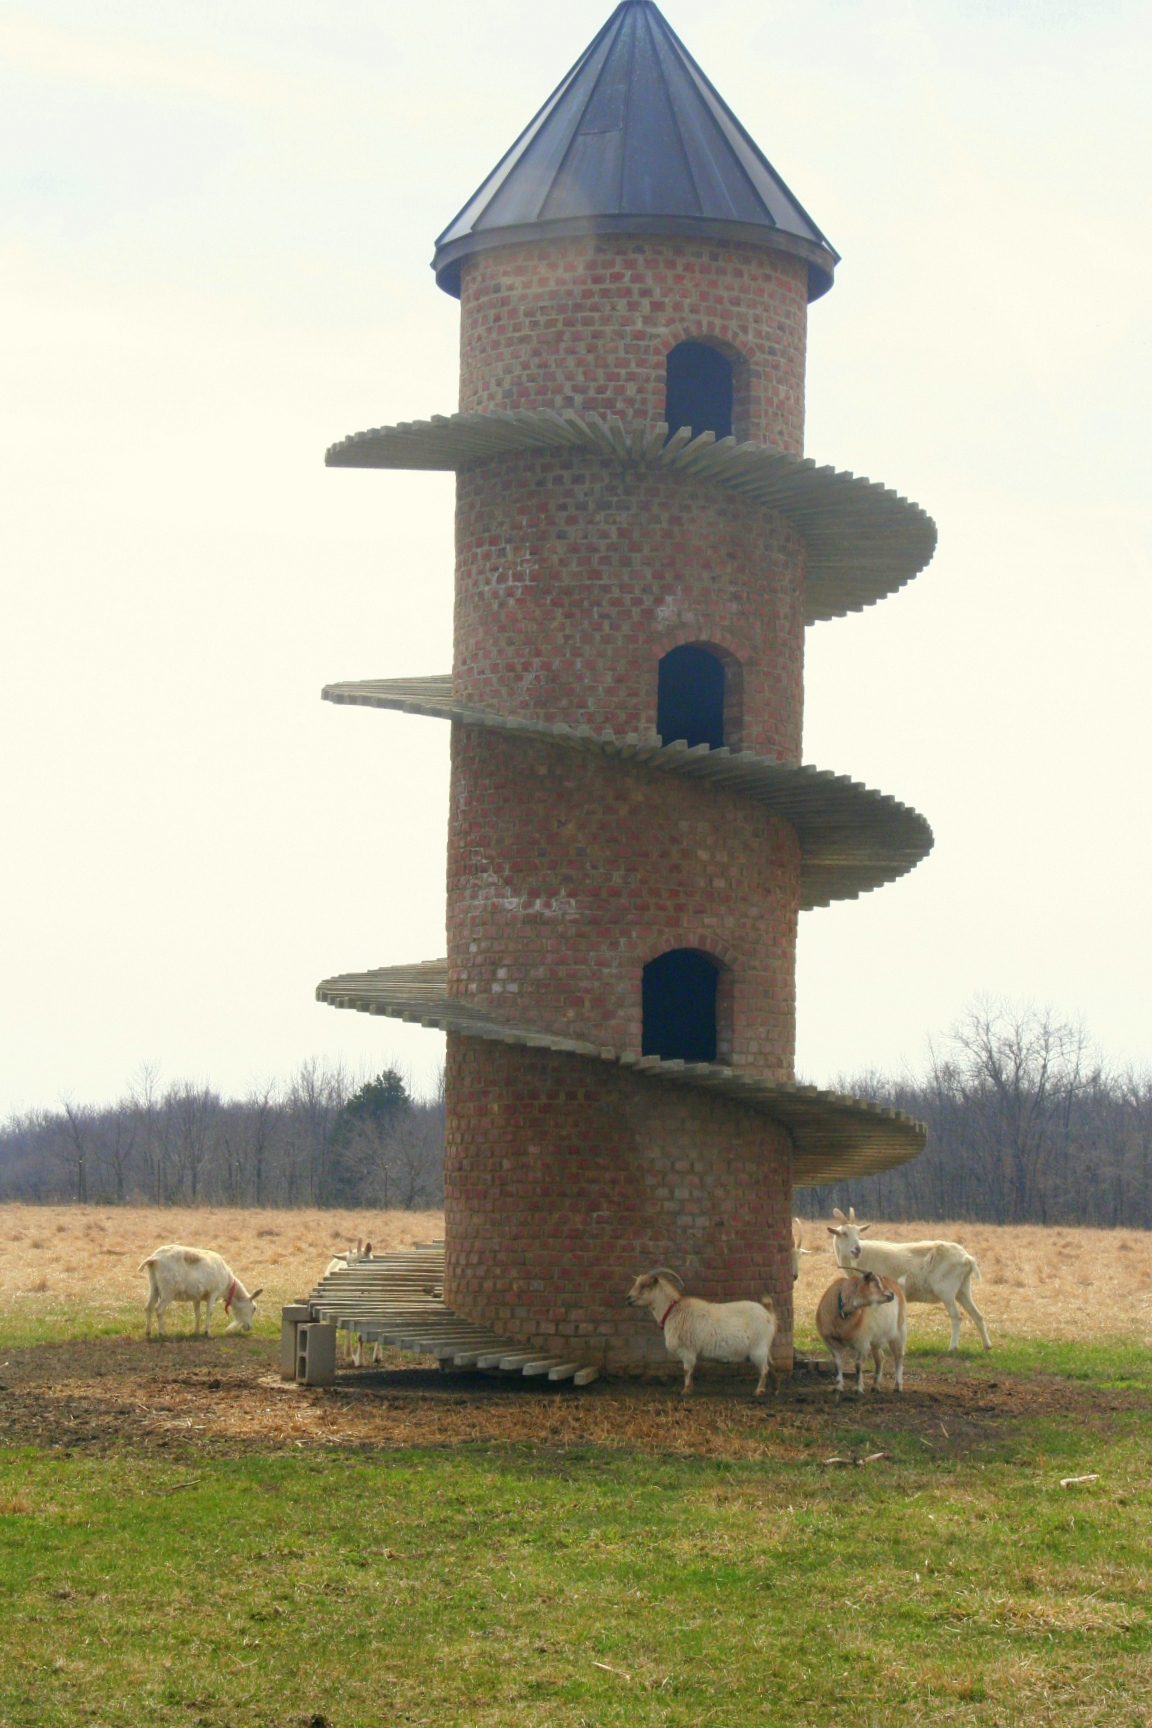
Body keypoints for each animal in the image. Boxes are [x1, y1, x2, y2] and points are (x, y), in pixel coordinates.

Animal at [627, 1268, 778, 1396]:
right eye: (637, 1282)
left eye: (644, 1285)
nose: (628, 1298)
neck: (672, 1311)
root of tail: (768, 1314)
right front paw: (690, 1389)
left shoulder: (687, 1350)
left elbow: (687, 1370)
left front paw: (686, 1391)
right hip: (764, 1348)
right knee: (771, 1365)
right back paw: (775, 1390)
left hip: (758, 1349)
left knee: (764, 1369)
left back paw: (759, 1391)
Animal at [827, 1207, 991, 1351]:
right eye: (843, 1233)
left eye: (858, 1232)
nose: (857, 1250)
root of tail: (967, 1258)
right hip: (963, 1289)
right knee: (977, 1315)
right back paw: (987, 1346)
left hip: (947, 1291)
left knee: (957, 1317)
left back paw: (953, 1347)